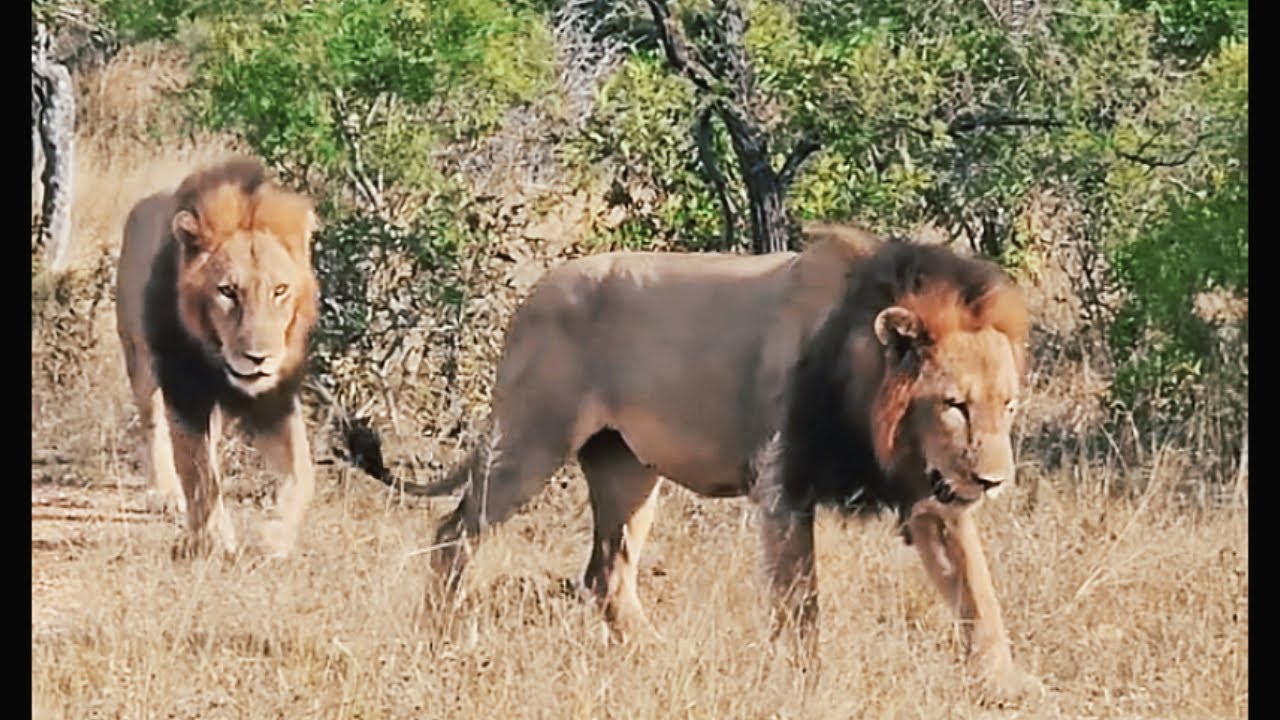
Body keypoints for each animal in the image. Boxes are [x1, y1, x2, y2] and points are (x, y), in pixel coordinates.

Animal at [114, 157, 321, 559]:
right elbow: (199, 476)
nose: (258, 358)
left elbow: (303, 473)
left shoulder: (275, 401)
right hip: (138, 358)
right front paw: (214, 539)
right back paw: (165, 493)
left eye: (280, 290)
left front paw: (274, 536)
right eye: (227, 291)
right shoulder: (185, 394)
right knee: (153, 426)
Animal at [362, 222, 1042, 702]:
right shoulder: (782, 485)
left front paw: (1006, 685)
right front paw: (804, 681)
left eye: (1007, 405)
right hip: (528, 445)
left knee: (607, 574)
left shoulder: (933, 493)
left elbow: (979, 592)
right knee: (453, 531)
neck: (870, 401)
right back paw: (438, 637)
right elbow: (801, 602)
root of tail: (533, 294)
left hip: (627, 471)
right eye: (954, 405)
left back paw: (657, 654)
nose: (992, 481)